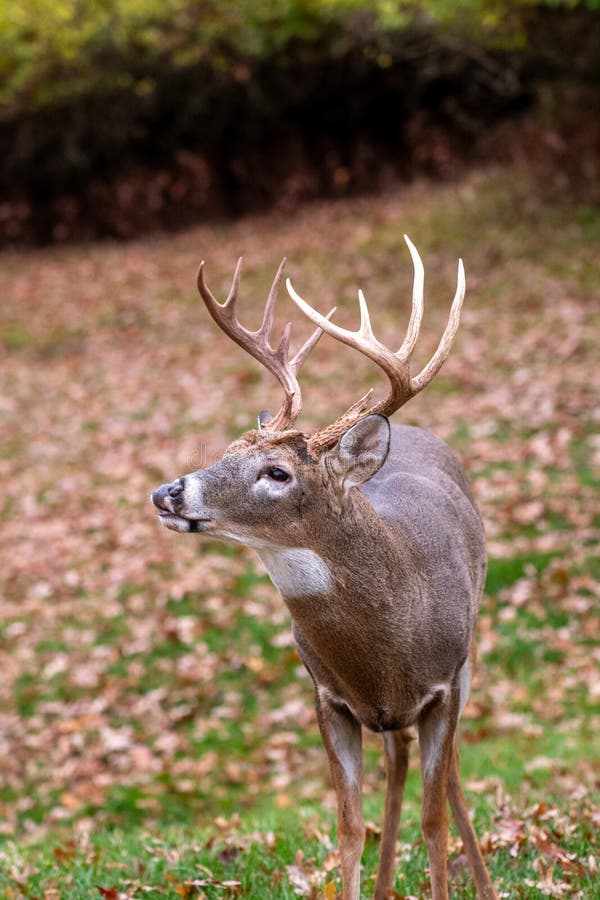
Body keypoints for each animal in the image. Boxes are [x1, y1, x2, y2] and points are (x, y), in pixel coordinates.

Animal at [151, 236, 497, 900]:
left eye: (278, 472)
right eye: (228, 450)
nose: (166, 492)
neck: (389, 638)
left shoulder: (443, 684)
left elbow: (434, 820)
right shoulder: (328, 697)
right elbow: (349, 828)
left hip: (469, 657)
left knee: (452, 775)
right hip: (387, 716)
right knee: (398, 760)